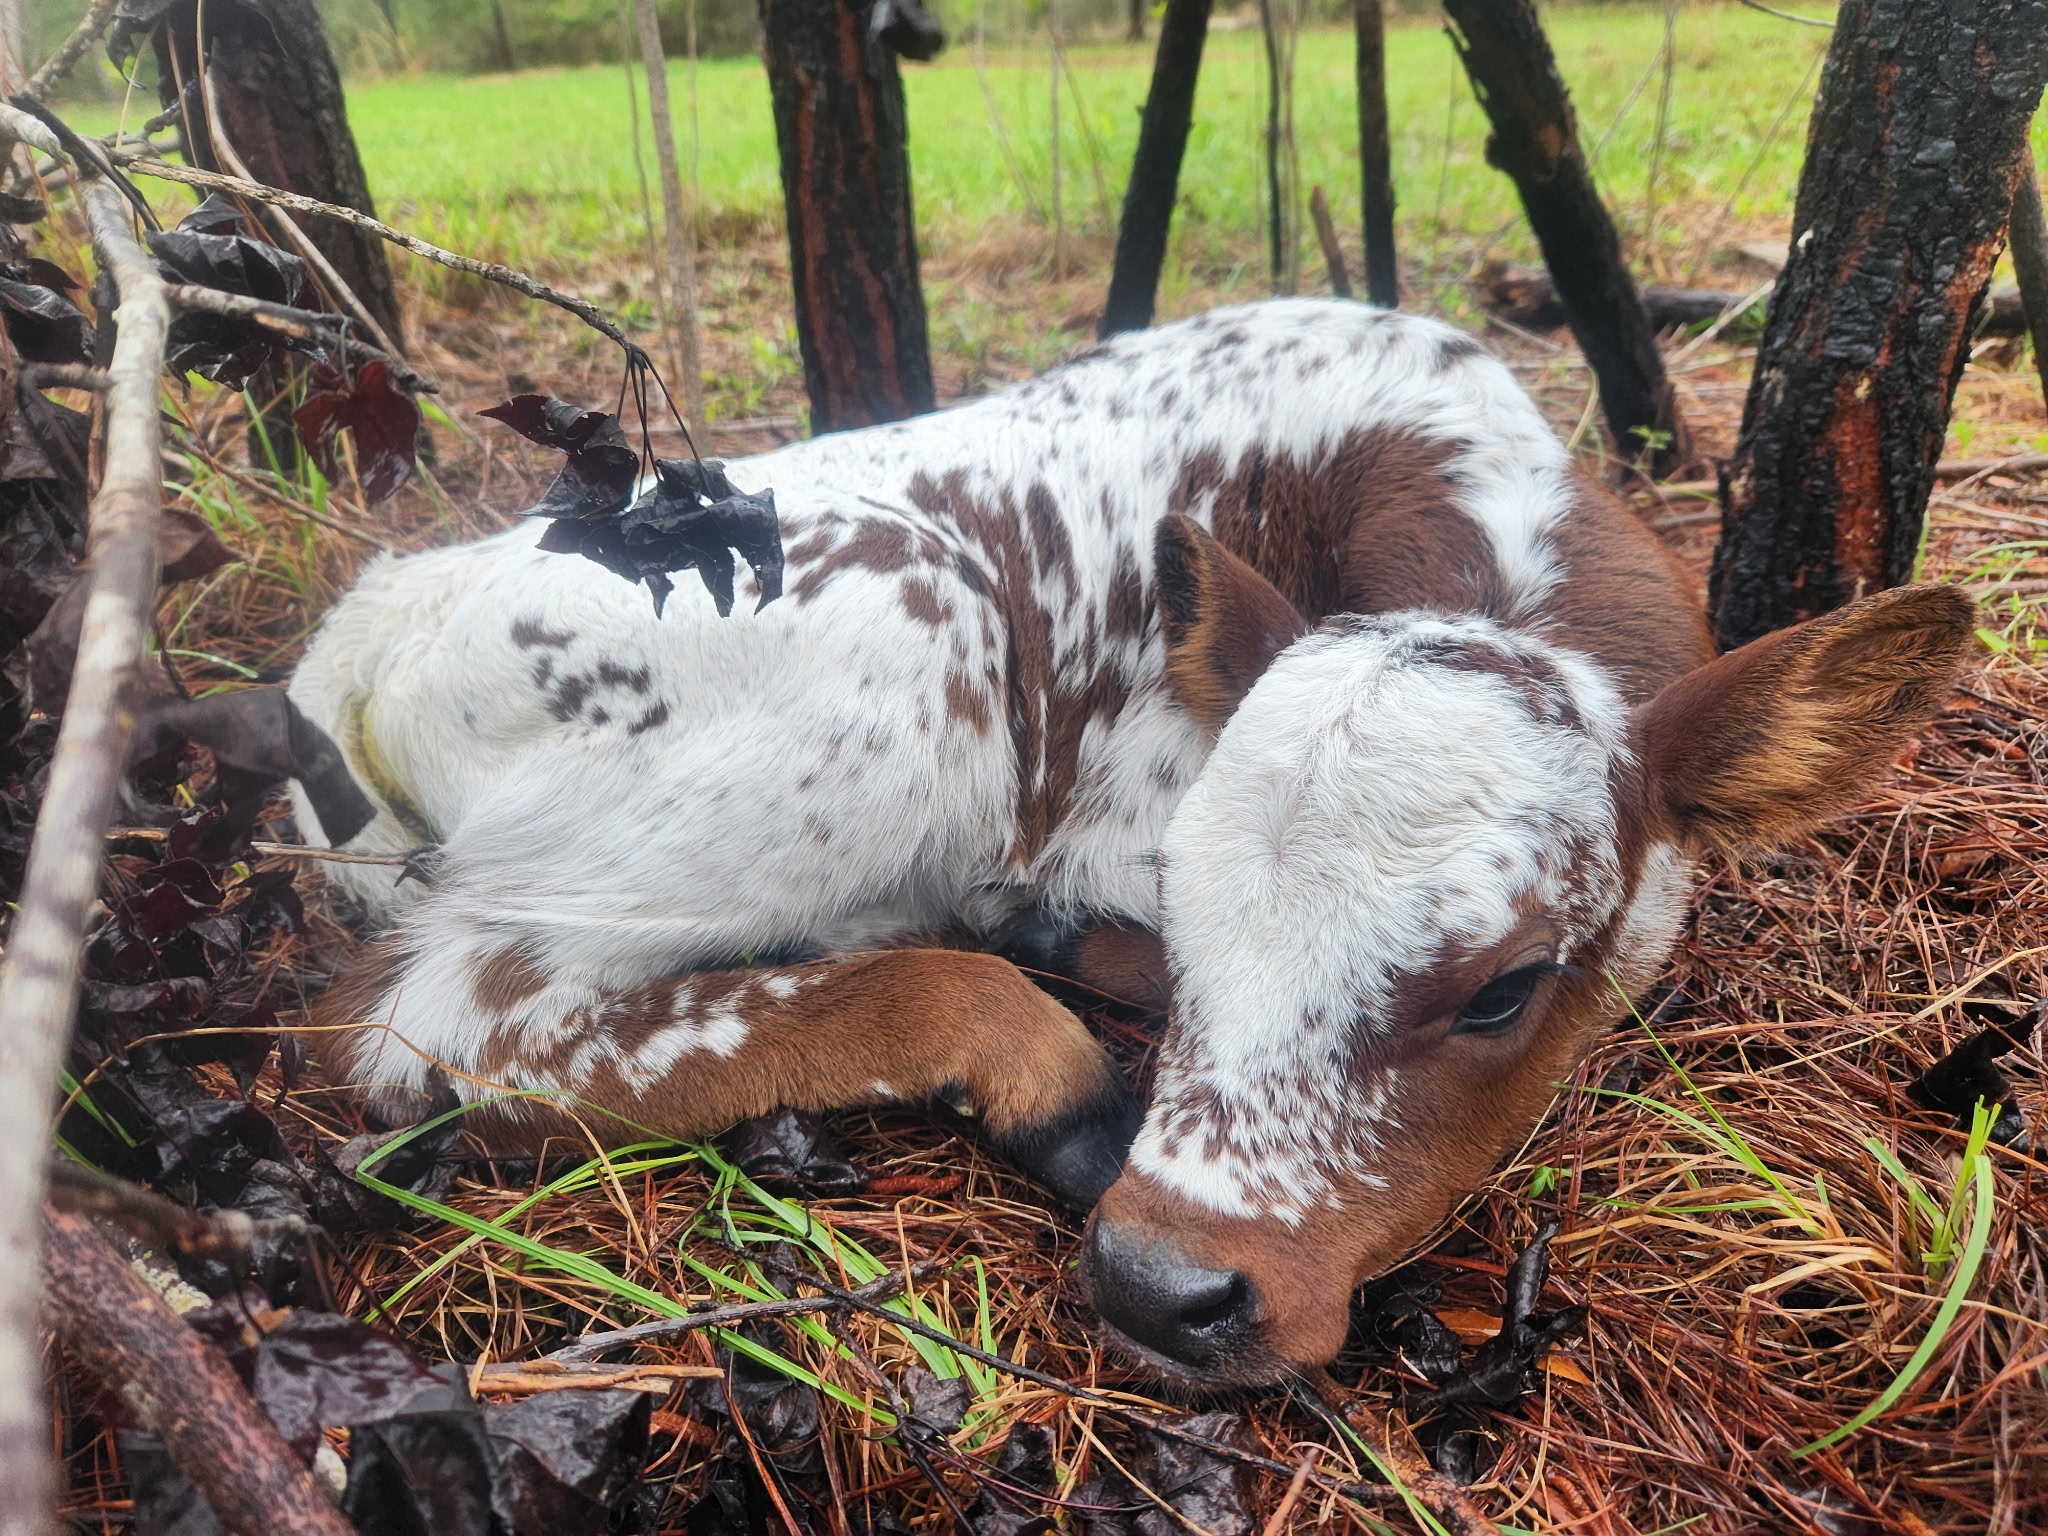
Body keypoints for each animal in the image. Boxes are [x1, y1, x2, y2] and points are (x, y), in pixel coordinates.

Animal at [291, 299, 1973, 1387]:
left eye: (1504, 987)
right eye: (1189, 909)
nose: (1166, 1290)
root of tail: (388, 617)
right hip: (913, 650)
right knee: (437, 1026)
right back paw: (1029, 1052)